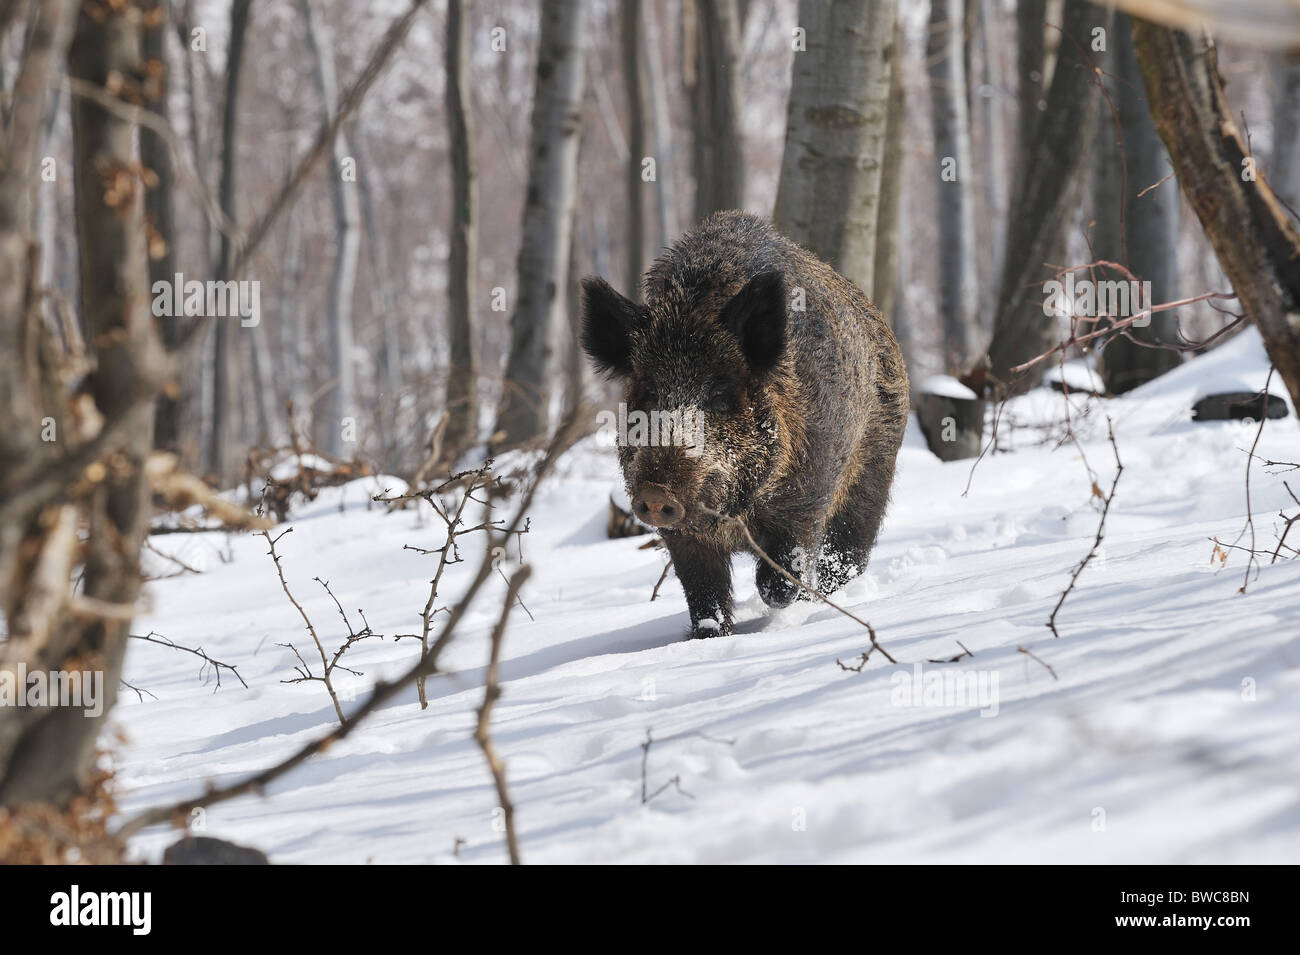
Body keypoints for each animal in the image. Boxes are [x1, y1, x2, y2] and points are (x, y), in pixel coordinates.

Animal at [580, 211, 909, 638]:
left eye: (720, 394)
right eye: (649, 392)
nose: (656, 493)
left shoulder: (806, 496)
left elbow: (783, 573)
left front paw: (778, 606)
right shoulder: (683, 538)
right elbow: (703, 591)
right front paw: (706, 636)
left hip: (876, 464)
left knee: (848, 552)